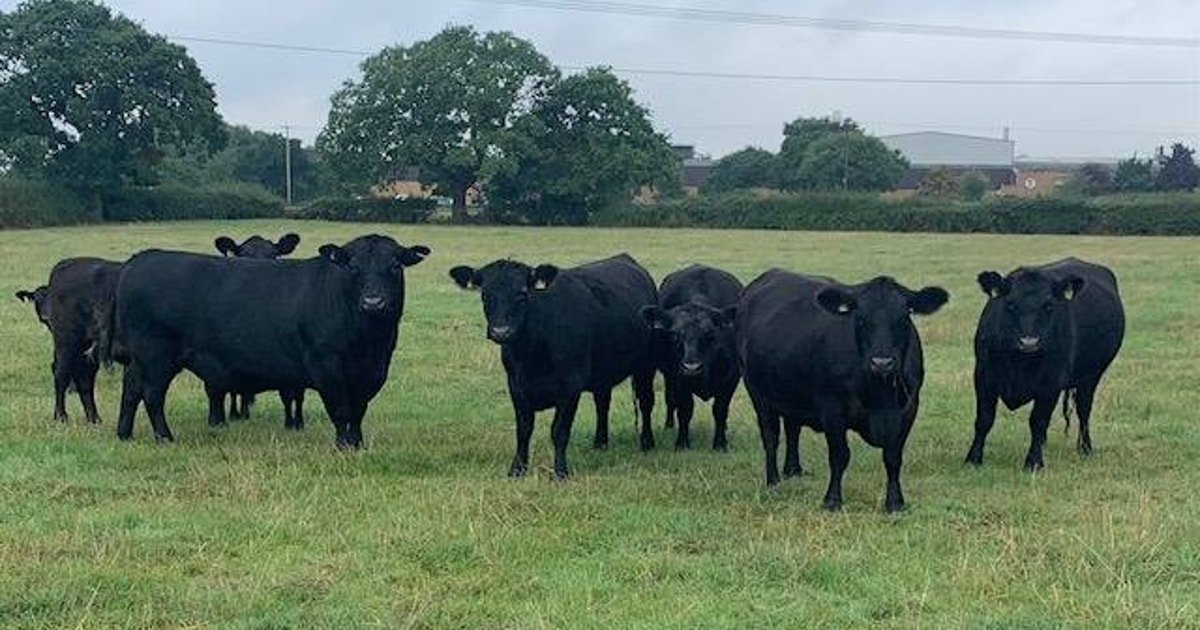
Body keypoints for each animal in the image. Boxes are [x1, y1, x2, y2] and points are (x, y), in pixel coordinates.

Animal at [19, 258, 122, 423]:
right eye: (36, 300)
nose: (46, 316)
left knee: (84, 375)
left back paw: (93, 418)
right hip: (67, 341)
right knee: (61, 372)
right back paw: (61, 416)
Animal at [449, 254, 658, 479]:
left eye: (522, 294)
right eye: (485, 294)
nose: (501, 332)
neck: (531, 353)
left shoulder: (570, 386)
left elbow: (559, 431)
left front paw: (560, 472)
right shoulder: (516, 385)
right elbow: (523, 430)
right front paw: (517, 469)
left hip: (646, 366)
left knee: (646, 401)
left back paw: (647, 442)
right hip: (603, 372)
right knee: (602, 403)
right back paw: (600, 443)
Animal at [640, 264, 742, 451]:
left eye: (709, 334)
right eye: (675, 334)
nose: (692, 367)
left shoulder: (731, 378)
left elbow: (720, 410)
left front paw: (720, 443)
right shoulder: (678, 377)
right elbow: (685, 410)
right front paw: (682, 443)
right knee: (670, 399)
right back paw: (669, 425)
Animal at [737, 270, 948, 512]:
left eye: (904, 317)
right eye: (860, 318)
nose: (882, 363)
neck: (879, 397)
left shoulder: (909, 409)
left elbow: (893, 458)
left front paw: (895, 501)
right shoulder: (832, 409)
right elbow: (840, 456)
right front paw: (832, 499)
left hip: (792, 394)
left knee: (792, 429)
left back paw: (793, 470)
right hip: (757, 392)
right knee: (771, 436)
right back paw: (773, 480)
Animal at [965, 257, 1125, 471]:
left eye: (1048, 306)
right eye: (1010, 305)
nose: (1029, 342)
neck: (1019, 362)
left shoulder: (1051, 383)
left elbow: (1038, 421)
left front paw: (1033, 462)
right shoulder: (984, 375)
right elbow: (984, 419)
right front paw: (973, 458)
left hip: (1091, 377)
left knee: (1084, 411)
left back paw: (1085, 448)